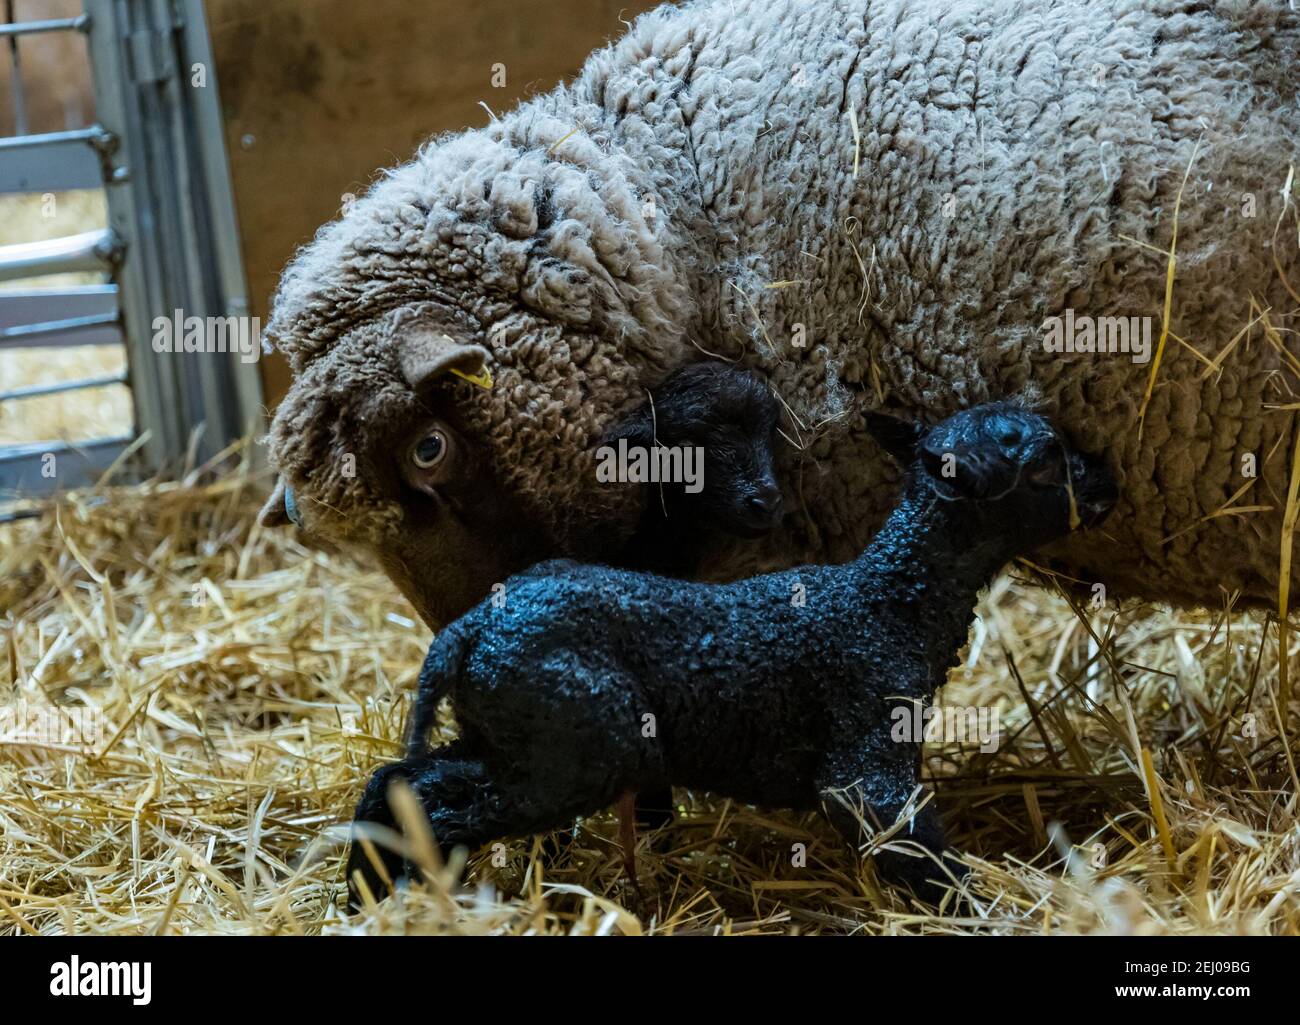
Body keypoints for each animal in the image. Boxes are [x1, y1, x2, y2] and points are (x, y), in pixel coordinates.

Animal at [345, 400, 1119, 908]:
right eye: (1047, 459)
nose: (1108, 480)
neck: (889, 602)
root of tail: (468, 629)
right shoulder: (864, 756)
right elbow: (915, 843)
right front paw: (989, 907)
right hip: (581, 743)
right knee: (438, 808)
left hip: (509, 731)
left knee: (398, 782)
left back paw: (365, 897)